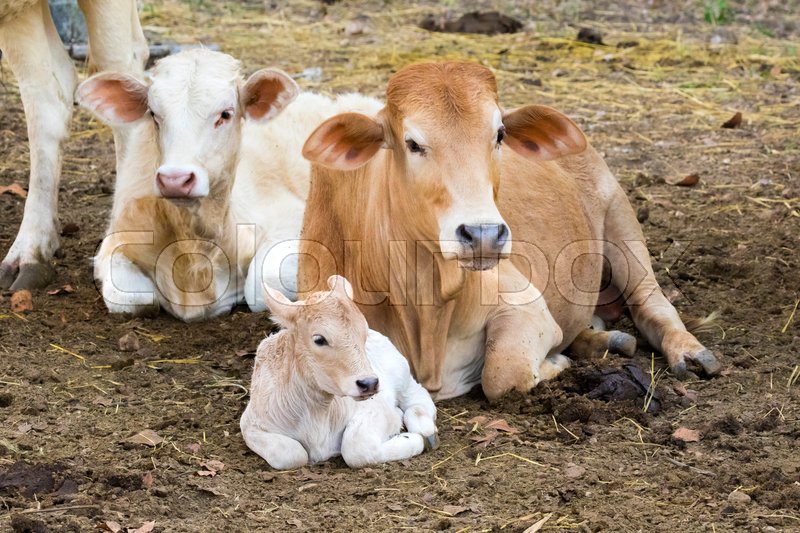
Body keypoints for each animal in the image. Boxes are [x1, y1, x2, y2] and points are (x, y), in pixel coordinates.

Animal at [240, 275, 438, 469]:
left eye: (363, 332)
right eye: (319, 339)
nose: (369, 383)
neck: (316, 414)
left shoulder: (377, 408)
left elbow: (356, 448)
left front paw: (410, 437)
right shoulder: (249, 423)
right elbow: (291, 454)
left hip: (401, 372)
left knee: (419, 395)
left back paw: (425, 429)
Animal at [297, 61, 722, 401]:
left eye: (500, 134)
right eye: (412, 143)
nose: (483, 235)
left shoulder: (524, 305)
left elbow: (503, 374)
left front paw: (556, 362)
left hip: (621, 222)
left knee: (653, 304)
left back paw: (687, 351)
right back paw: (604, 339)